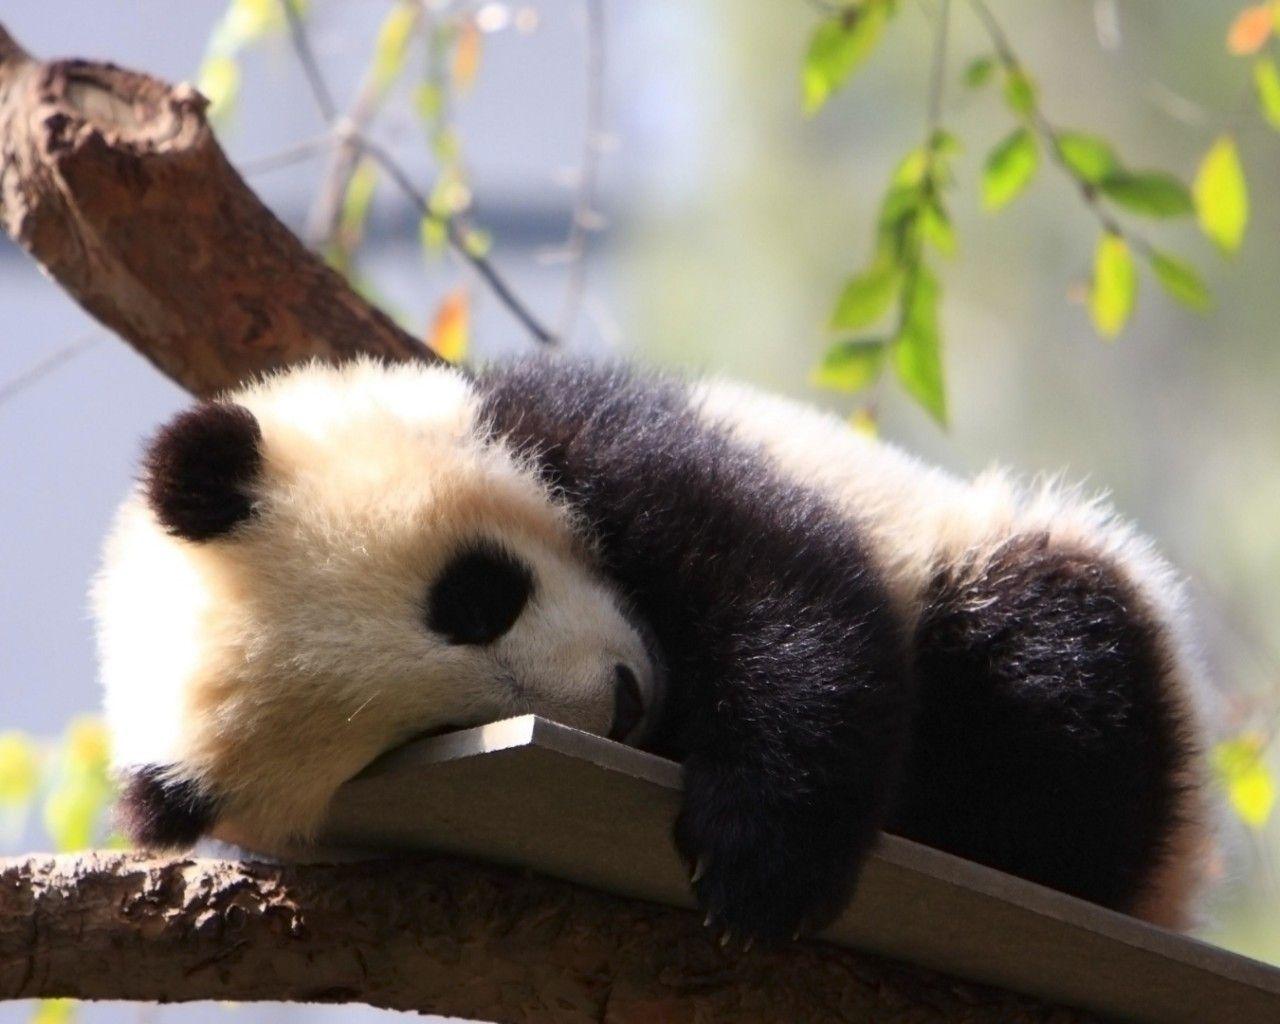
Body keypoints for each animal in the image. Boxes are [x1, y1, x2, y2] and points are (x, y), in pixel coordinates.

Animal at [93, 355, 1212, 945]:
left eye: (475, 597)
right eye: (436, 732)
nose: (625, 704)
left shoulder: (588, 430)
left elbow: (783, 587)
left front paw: (760, 862)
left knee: (1049, 667)